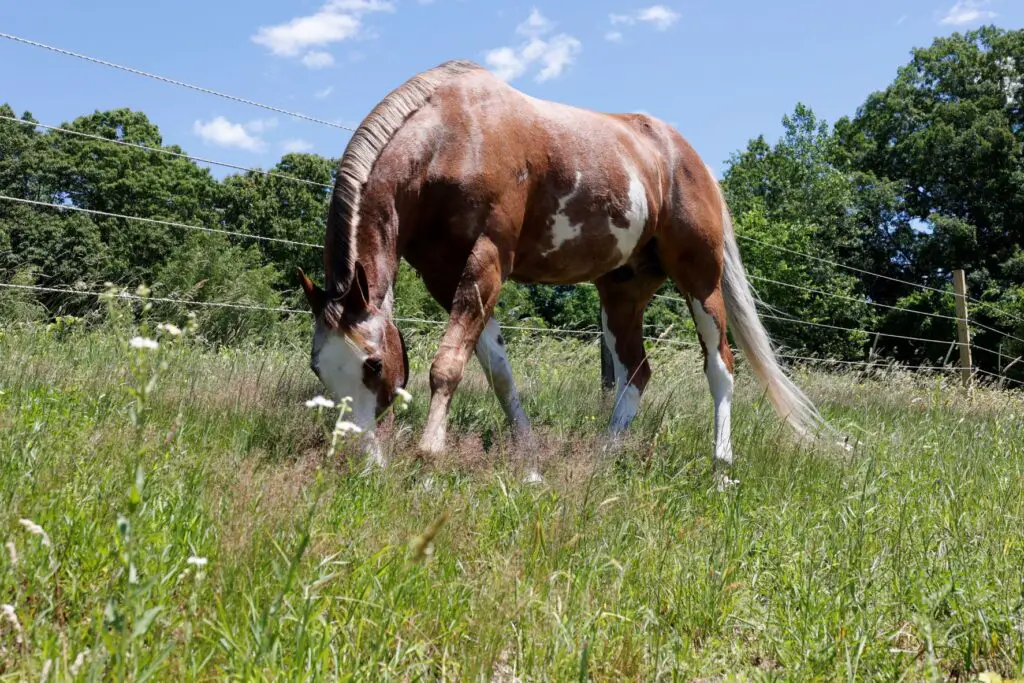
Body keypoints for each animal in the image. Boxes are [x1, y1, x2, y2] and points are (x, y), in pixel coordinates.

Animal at [297, 59, 831, 481]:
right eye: (319, 368)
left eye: (373, 364)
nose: (366, 465)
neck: (453, 136)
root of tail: (690, 160)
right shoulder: (447, 276)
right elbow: (498, 373)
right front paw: (531, 465)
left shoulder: (488, 260)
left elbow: (448, 365)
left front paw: (429, 461)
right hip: (622, 292)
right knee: (637, 372)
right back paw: (603, 458)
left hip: (700, 279)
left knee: (720, 366)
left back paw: (721, 469)